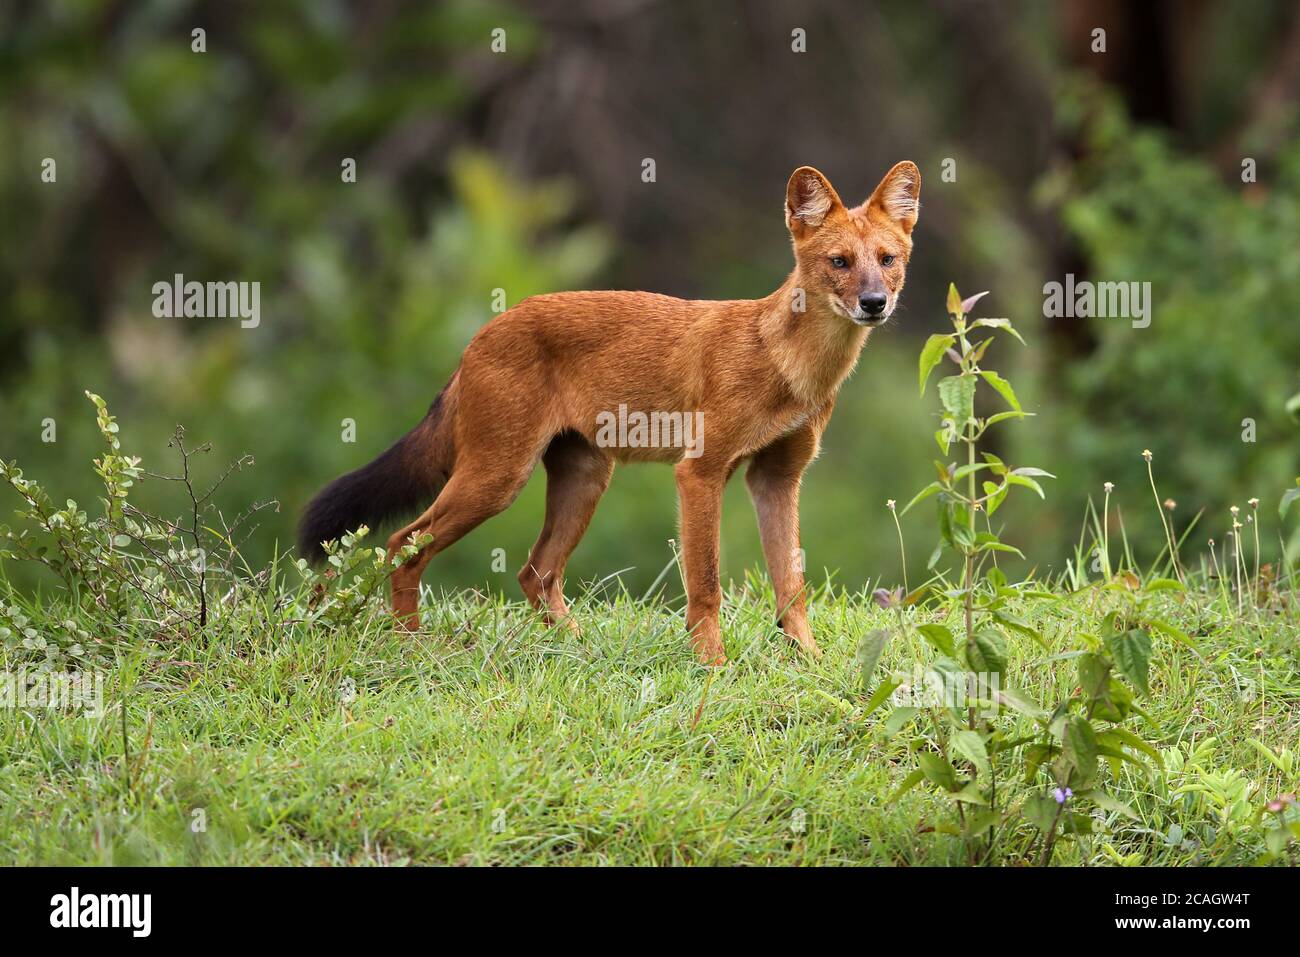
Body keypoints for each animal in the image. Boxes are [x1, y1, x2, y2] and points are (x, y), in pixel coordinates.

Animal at [299, 161, 921, 665]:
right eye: (839, 262)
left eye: (887, 261)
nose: (875, 303)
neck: (789, 365)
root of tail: (480, 334)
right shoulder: (699, 471)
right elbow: (707, 583)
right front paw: (713, 667)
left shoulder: (777, 478)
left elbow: (792, 584)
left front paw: (811, 662)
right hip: (498, 478)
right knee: (403, 543)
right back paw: (413, 646)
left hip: (586, 478)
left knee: (535, 572)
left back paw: (580, 649)